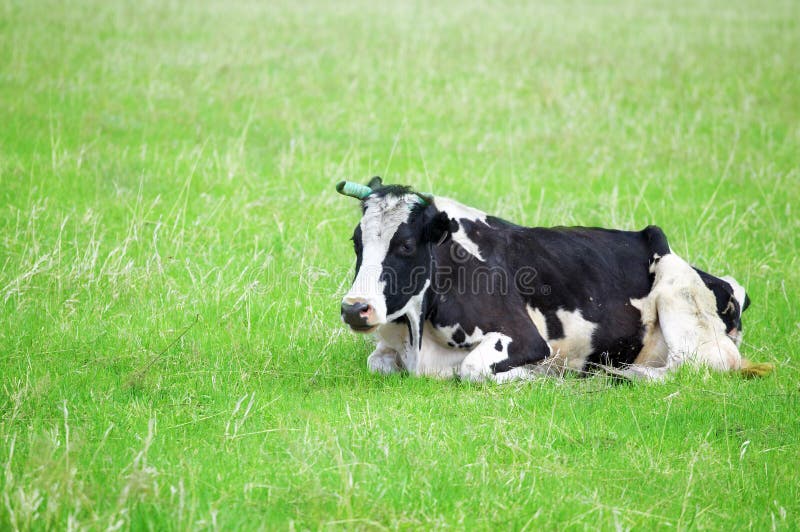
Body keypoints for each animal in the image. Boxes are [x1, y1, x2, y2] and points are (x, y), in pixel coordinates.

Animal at [336, 177, 772, 382]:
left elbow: (472, 369)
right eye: (356, 242)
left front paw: (535, 377)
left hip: (679, 299)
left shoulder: (524, 338)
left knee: (701, 365)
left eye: (406, 245)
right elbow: (378, 361)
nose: (355, 309)